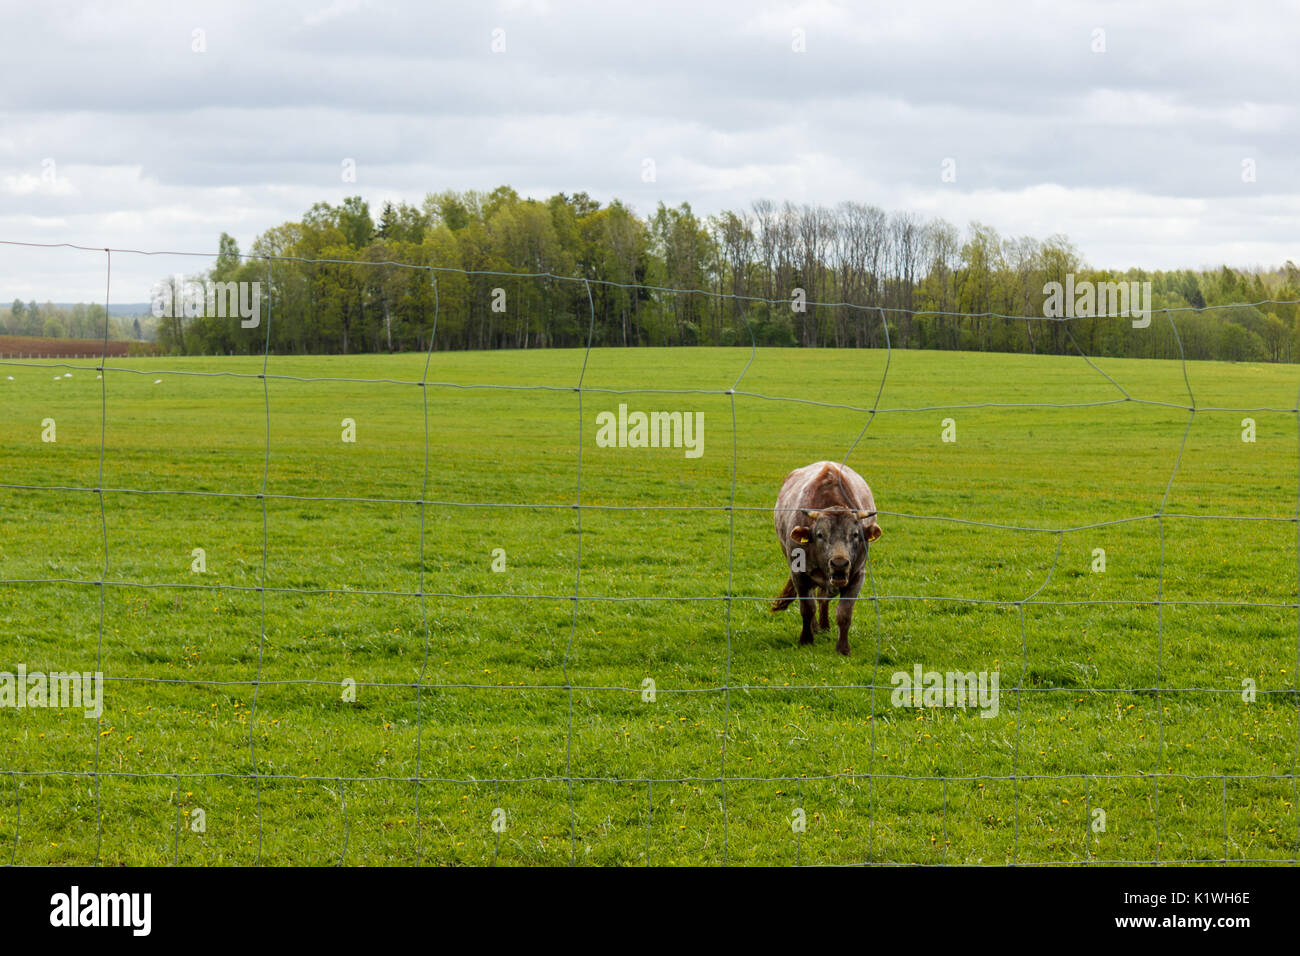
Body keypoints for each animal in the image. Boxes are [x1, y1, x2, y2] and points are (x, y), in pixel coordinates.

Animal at [770, 461, 882, 656]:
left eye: (855, 534)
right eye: (820, 534)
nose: (839, 564)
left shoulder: (857, 576)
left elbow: (844, 613)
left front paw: (843, 648)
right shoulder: (798, 575)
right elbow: (807, 608)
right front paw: (806, 639)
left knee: (823, 598)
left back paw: (823, 626)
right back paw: (815, 627)